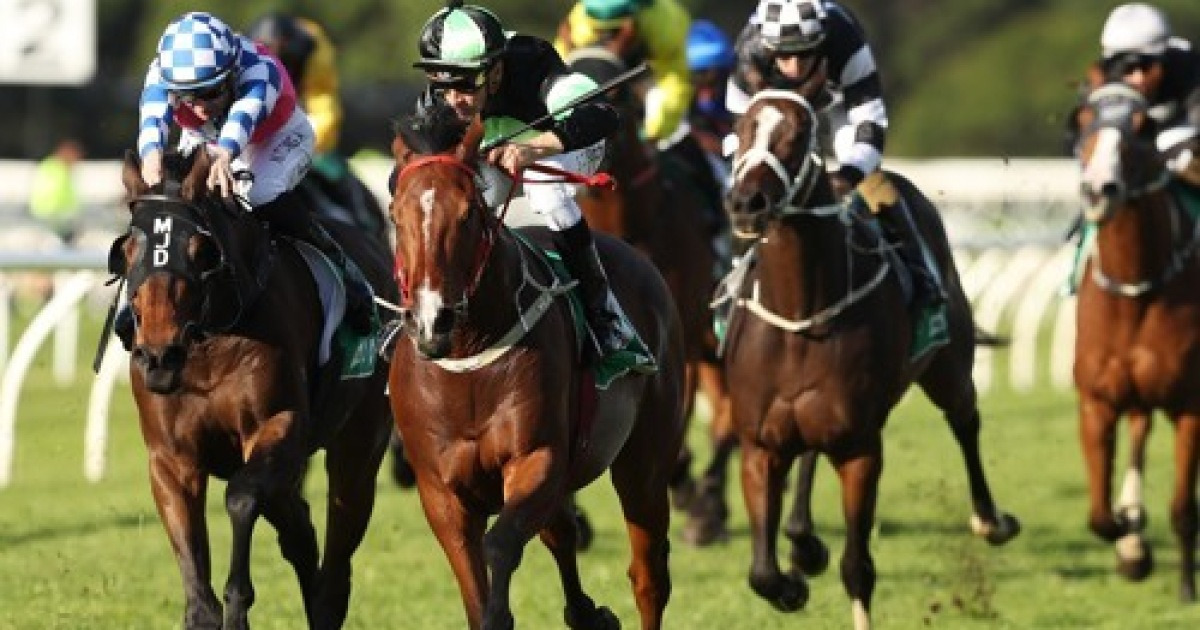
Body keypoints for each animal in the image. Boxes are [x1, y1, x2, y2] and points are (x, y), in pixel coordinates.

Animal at [114, 148, 395, 629]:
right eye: (129, 250)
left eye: (199, 250)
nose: (158, 356)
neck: (208, 343)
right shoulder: (170, 457)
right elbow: (192, 560)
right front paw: (205, 611)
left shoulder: (279, 427)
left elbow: (241, 498)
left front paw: (238, 606)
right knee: (299, 529)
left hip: (358, 448)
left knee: (336, 560)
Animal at [386, 104, 687, 630]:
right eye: (394, 215)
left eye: (469, 214)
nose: (431, 320)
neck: (467, 358)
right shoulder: (440, 490)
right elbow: (476, 583)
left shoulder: (538, 459)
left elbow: (500, 545)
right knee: (562, 533)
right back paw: (586, 612)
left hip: (646, 460)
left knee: (649, 575)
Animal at [721, 67, 1020, 628]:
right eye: (742, 127)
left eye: (799, 132)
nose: (747, 203)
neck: (802, 318)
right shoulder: (761, 445)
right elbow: (760, 572)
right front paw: (791, 583)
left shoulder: (862, 445)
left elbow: (857, 567)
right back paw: (803, 543)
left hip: (948, 365)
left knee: (964, 421)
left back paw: (990, 520)